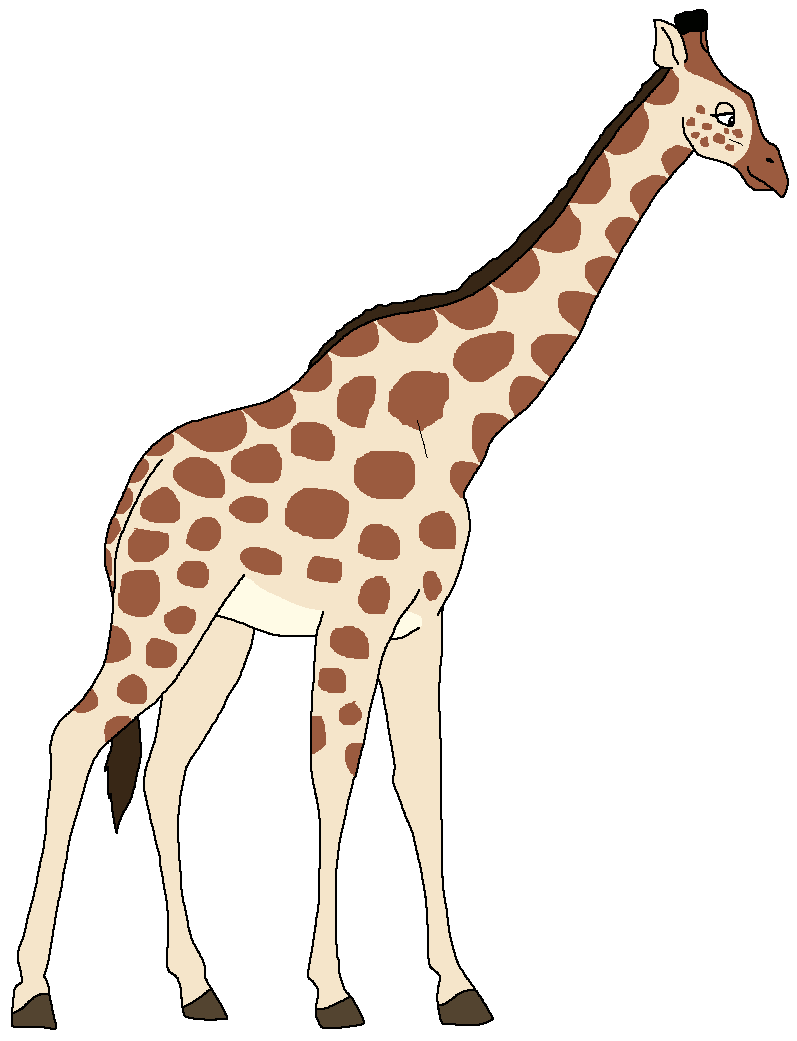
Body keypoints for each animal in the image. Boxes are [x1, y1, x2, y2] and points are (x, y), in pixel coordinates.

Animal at [13, 20, 786, 1029]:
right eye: (724, 107)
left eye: (749, 100)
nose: (773, 169)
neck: (463, 418)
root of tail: (137, 487)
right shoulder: (356, 618)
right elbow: (332, 778)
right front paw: (334, 989)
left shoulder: (422, 620)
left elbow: (421, 780)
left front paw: (456, 983)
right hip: (158, 610)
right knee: (76, 733)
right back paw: (32, 987)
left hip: (217, 629)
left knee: (164, 766)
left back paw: (197, 985)